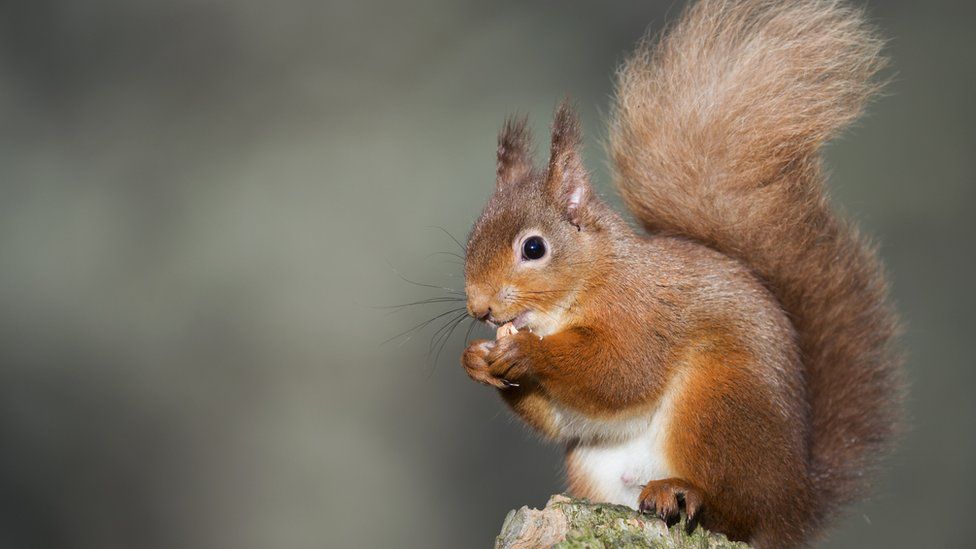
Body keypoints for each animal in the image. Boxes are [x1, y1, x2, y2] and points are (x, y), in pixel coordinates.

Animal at [459, 0, 902, 547]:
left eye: (534, 248)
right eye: (471, 236)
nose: (478, 307)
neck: (595, 279)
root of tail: (796, 502)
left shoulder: (643, 314)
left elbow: (621, 371)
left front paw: (525, 353)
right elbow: (564, 416)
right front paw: (477, 361)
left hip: (719, 403)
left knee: (738, 510)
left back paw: (684, 492)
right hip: (601, 462)